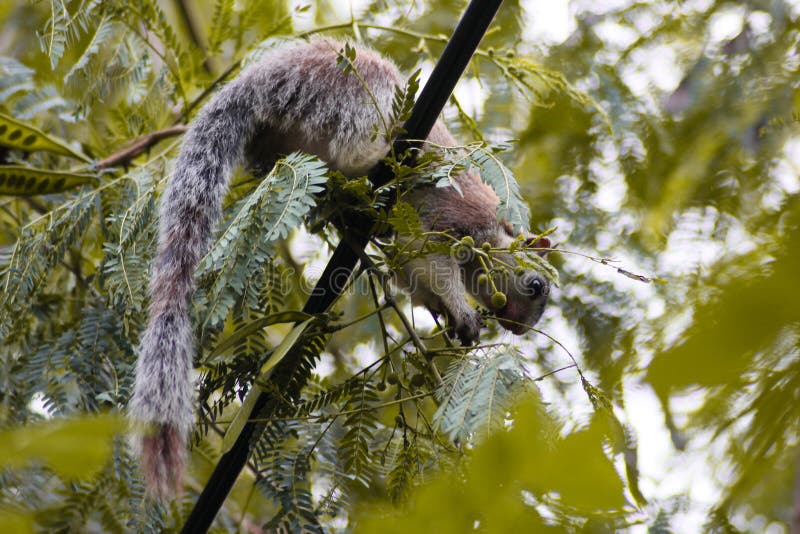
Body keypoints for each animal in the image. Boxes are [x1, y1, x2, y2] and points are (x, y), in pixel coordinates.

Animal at [129, 39, 551, 498]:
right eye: (536, 285)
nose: (518, 329)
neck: (491, 235)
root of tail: (263, 80)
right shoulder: (448, 221)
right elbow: (433, 263)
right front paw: (461, 311)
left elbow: (415, 274)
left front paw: (442, 312)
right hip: (353, 104)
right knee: (359, 143)